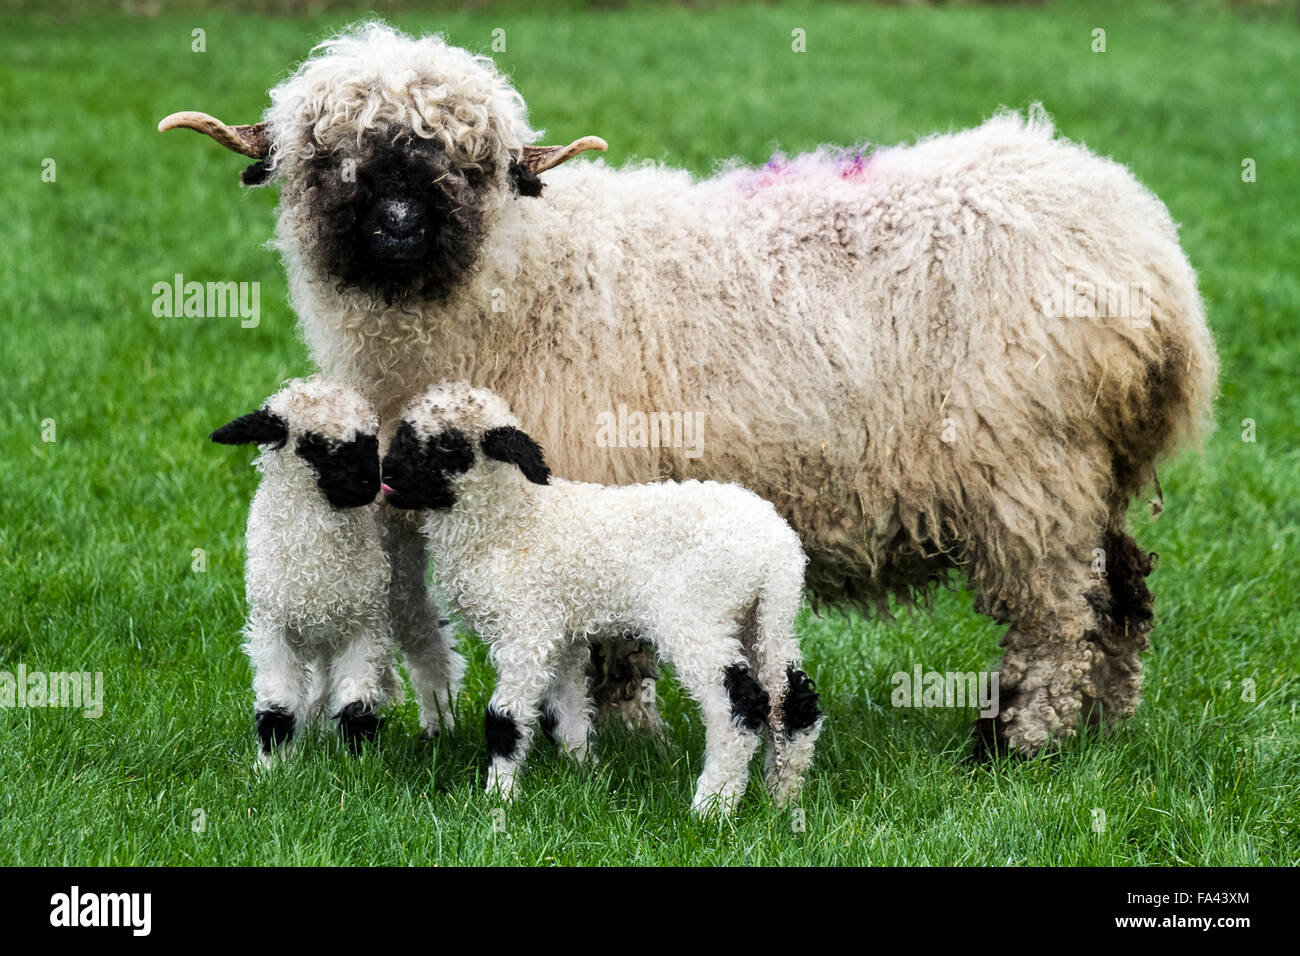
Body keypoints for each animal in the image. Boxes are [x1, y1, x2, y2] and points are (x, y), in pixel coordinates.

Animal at [212, 377, 459, 760]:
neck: (319, 562)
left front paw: (357, 762)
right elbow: (278, 706)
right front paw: (272, 764)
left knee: (429, 643)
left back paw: (439, 722)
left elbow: (355, 704)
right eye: (314, 443)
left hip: (399, 588)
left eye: (371, 438)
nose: (370, 483)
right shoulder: (274, 628)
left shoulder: (364, 624)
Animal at [379, 383, 823, 813]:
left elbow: (505, 718)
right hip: (764, 615)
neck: (512, 522)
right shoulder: (562, 636)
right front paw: (584, 778)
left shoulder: (528, 629)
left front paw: (498, 799)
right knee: (795, 704)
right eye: (404, 434)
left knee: (739, 706)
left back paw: (712, 807)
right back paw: (782, 801)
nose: (388, 472)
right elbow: (567, 714)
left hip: (696, 614)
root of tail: (777, 546)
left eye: (447, 446)